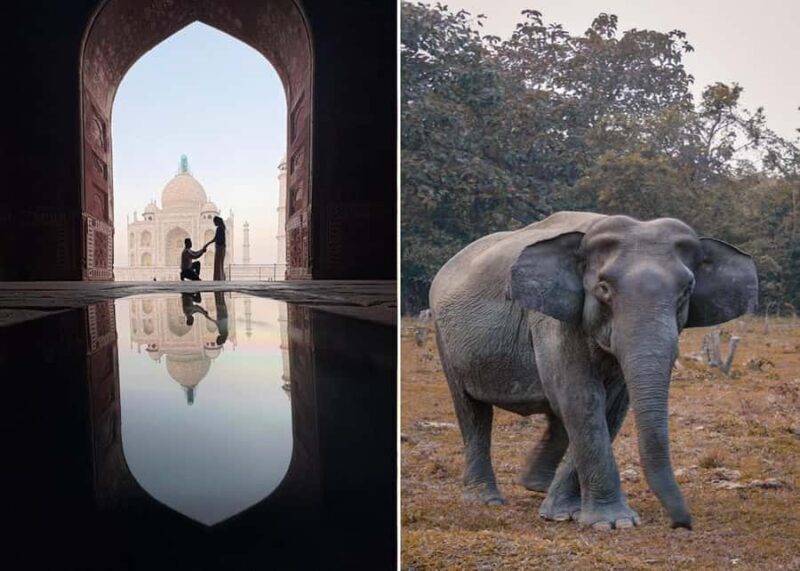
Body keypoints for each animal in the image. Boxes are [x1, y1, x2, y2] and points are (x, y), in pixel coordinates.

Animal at [429, 211, 758, 530]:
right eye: (603, 288)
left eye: (686, 291)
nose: (681, 524)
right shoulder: (552, 320)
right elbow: (582, 397)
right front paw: (612, 522)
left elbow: (612, 405)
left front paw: (563, 513)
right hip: (443, 336)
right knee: (472, 410)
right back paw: (486, 499)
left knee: (555, 415)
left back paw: (536, 485)